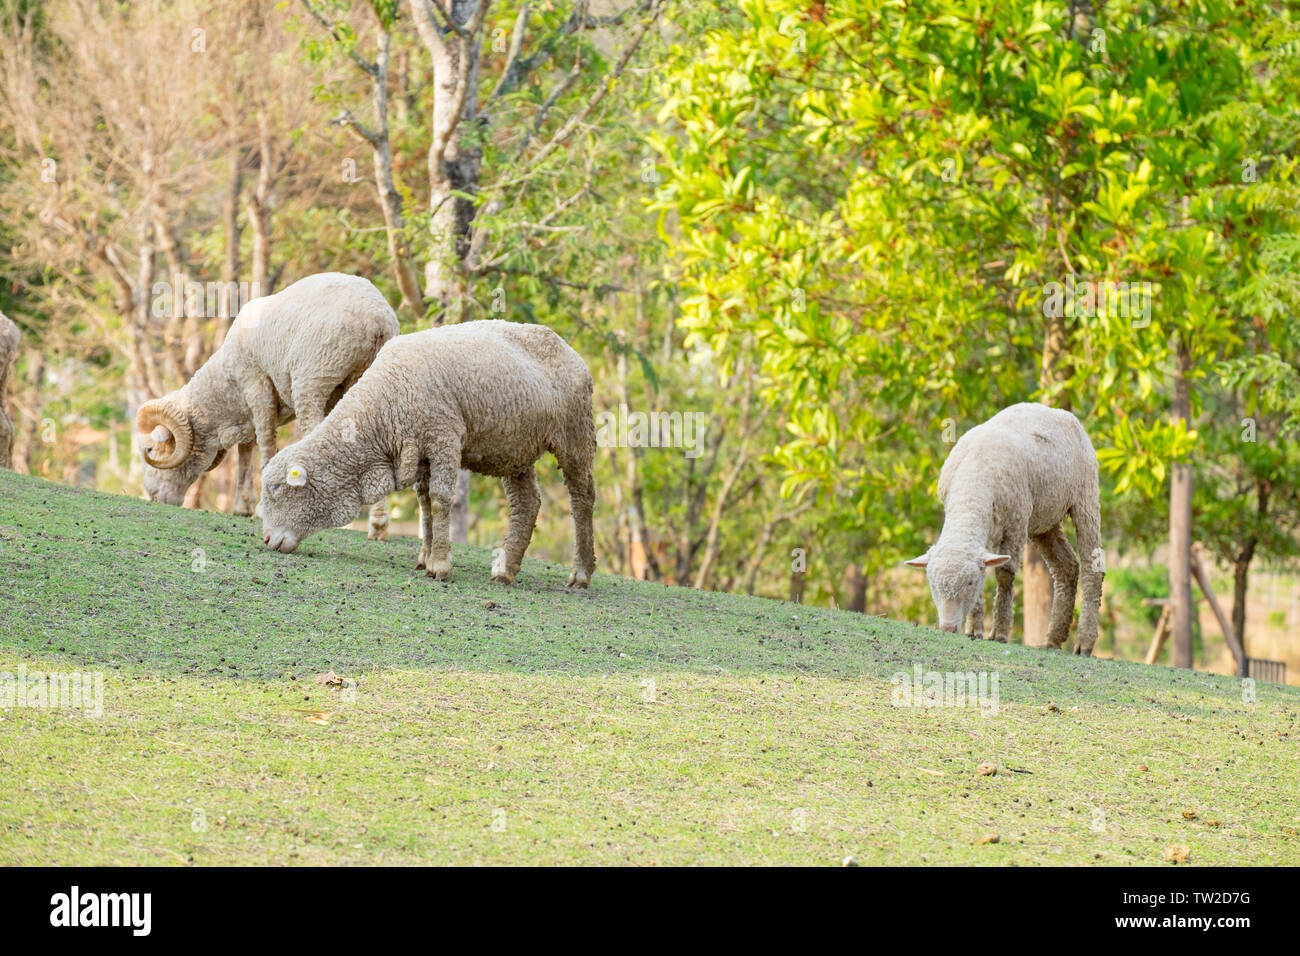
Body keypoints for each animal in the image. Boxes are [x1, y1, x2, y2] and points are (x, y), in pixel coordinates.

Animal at [135, 272, 398, 538]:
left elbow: (266, 444)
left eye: (152, 450)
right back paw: (378, 526)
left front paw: (261, 508)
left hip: (313, 381)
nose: (154, 496)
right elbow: (245, 453)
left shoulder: (257, 389)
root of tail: (377, 319)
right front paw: (242, 507)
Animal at [258, 319, 596, 589]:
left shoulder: (443, 437)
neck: (381, 410)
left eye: (275, 489)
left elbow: (440, 499)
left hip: (576, 430)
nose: (266, 540)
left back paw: (581, 574)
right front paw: (425, 557)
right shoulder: (418, 451)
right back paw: (505, 569)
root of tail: (569, 349)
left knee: (582, 499)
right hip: (514, 445)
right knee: (527, 503)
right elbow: (423, 503)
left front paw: (440, 565)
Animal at [904, 402, 1104, 655]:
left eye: (969, 583)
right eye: (932, 584)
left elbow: (1005, 574)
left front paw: (999, 632)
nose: (948, 628)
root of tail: (1055, 410)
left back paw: (1084, 643)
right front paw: (974, 630)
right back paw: (1052, 640)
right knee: (1067, 566)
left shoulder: (1016, 523)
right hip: (1044, 519)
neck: (973, 485)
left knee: (1092, 567)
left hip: (1086, 495)